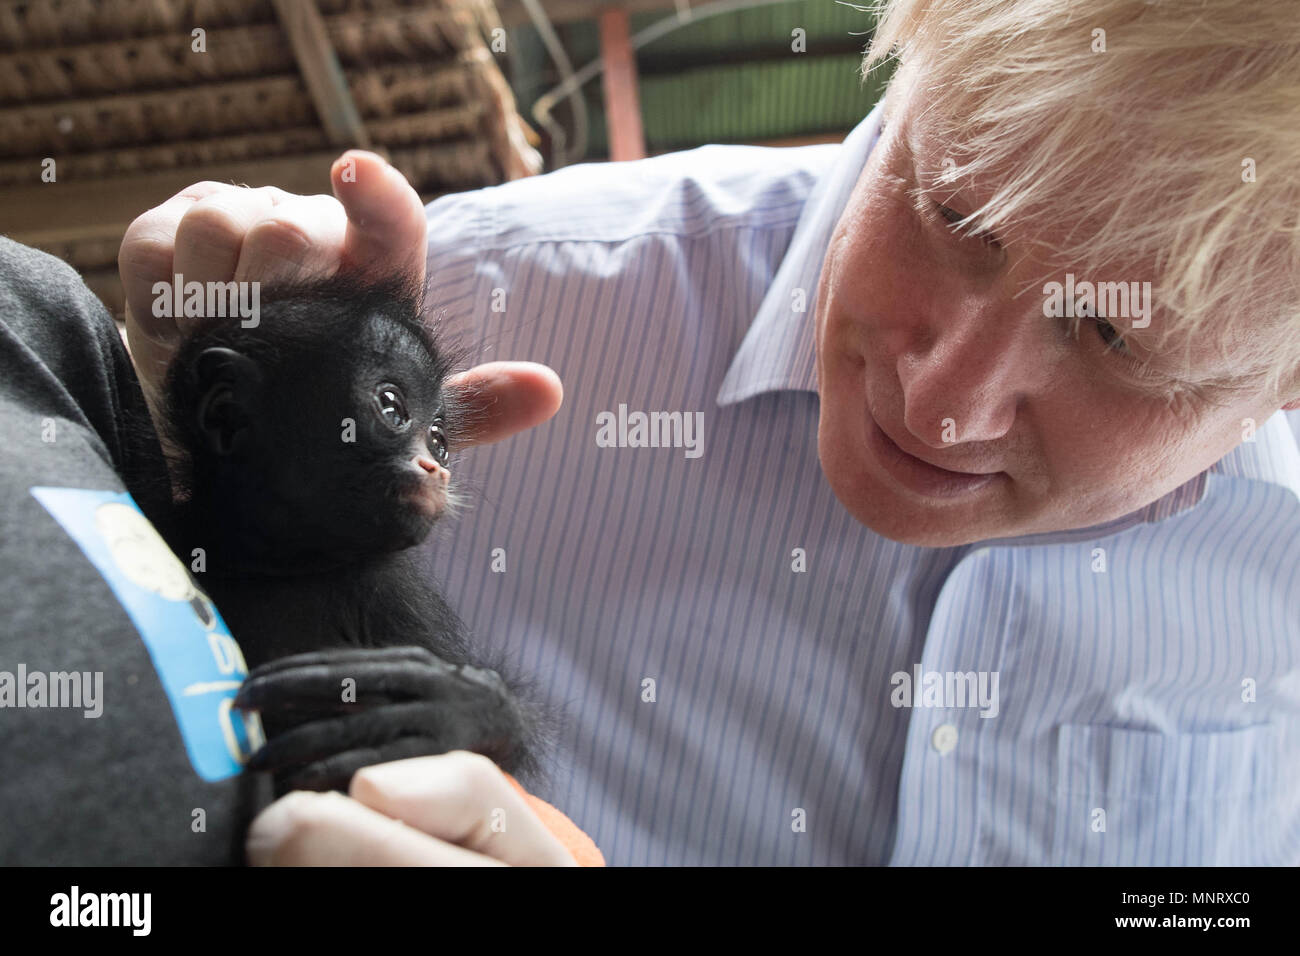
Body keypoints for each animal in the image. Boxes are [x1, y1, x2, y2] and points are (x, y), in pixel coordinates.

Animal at [140, 273, 550, 795]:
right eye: (392, 408)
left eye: (439, 440)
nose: (438, 468)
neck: (284, 565)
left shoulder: (397, 591)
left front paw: (455, 708)